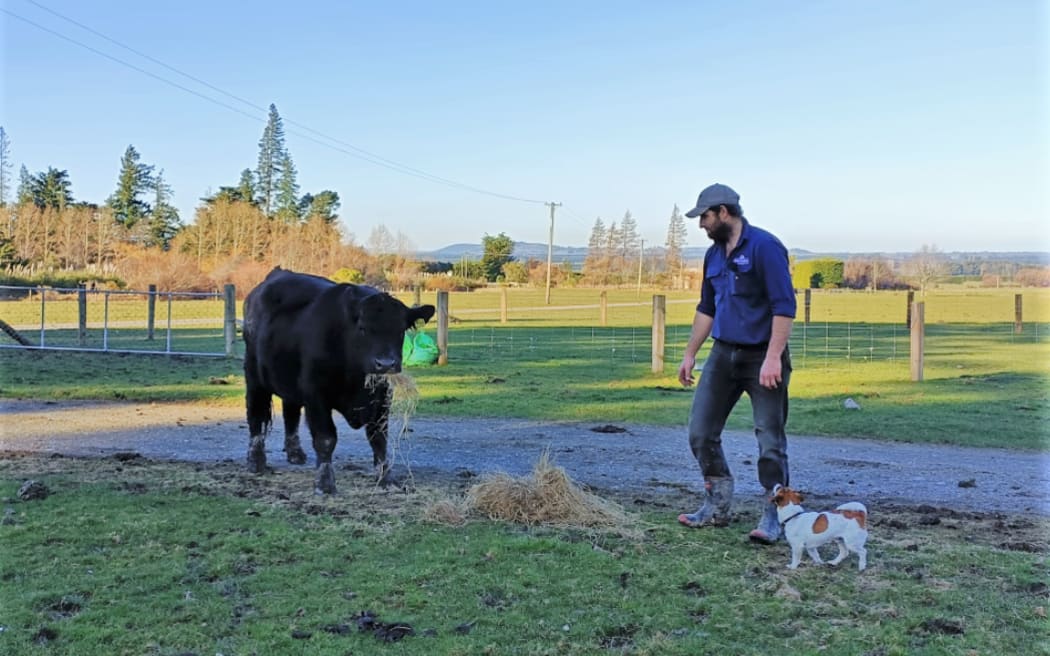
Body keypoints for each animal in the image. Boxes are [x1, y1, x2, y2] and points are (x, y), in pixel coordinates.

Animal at [242, 267, 436, 494]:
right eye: (362, 328)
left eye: (400, 329)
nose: (386, 363)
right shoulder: (316, 395)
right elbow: (326, 439)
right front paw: (325, 483)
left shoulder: (382, 398)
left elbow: (379, 439)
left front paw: (385, 478)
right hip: (254, 377)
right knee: (256, 415)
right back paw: (256, 461)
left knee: (291, 413)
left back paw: (295, 453)